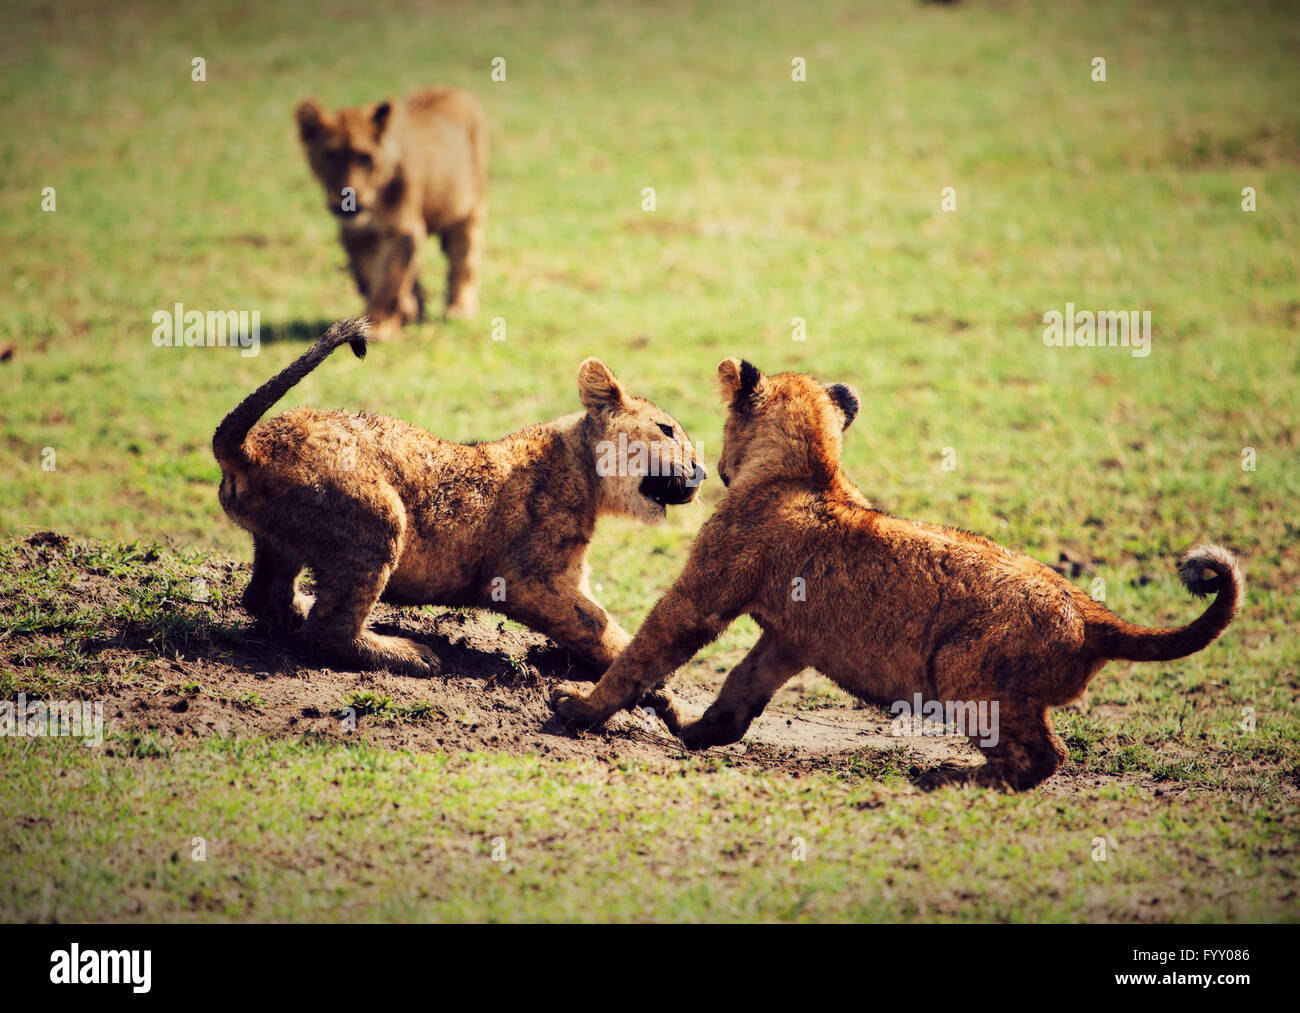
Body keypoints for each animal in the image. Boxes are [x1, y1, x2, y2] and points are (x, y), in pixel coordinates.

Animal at [212, 318, 705, 726]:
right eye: (666, 430)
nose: (700, 471)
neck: (585, 466)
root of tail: (250, 448)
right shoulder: (526, 581)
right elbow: (603, 629)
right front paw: (666, 696)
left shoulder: (566, 579)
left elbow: (607, 630)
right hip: (382, 515)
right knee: (327, 631)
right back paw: (408, 653)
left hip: (284, 539)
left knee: (265, 597)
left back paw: (297, 605)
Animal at [295, 87, 487, 339]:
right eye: (330, 155)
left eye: (365, 158)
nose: (348, 197)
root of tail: (450, 88)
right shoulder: (355, 234)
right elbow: (370, 274)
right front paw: (404, 312)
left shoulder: (402, 228)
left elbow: (389, 279)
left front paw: (380, 326)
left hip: (469, 208)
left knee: (464, 257)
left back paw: (459, 310)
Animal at [551, 358, 1243, 790]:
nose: (706, 468)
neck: (808, 472)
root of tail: (1091, 611)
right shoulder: (789, 639)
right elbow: (742, 686)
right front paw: (699, 733)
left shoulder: (703, 594)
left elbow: (644, 652)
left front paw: (579, 709)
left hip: (964, 673)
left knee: (1043, 757)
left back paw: (949, 776)